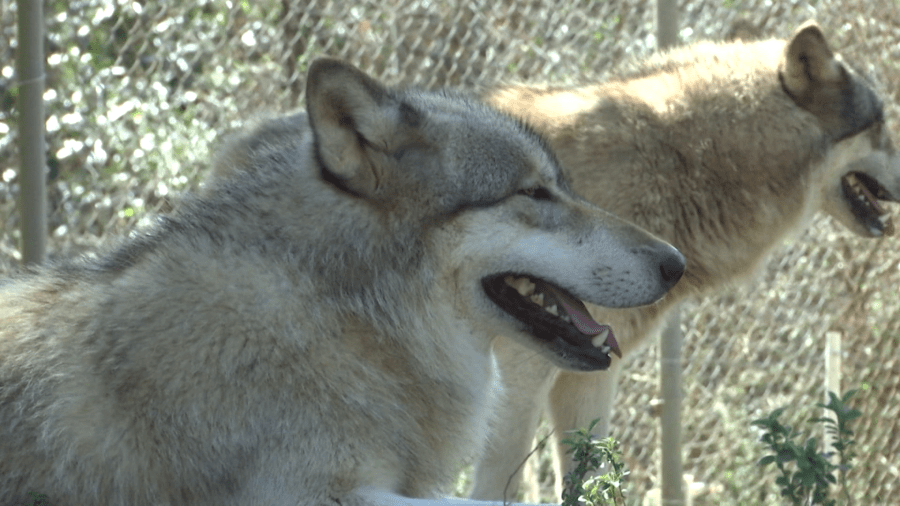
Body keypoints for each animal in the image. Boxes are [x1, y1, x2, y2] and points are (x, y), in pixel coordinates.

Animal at [472, 21, 900, 501]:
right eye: (881, 125)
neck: (680, 163)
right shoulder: (518, 372)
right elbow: (496, 483)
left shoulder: (589, 373)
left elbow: (591, 477)